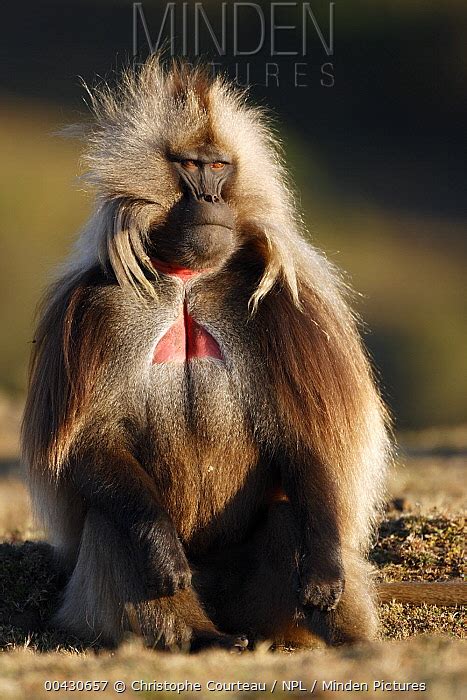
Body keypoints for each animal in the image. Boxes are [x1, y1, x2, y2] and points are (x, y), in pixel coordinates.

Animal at [22, 57, 391, 651]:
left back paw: (349, 640)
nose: (213, 199)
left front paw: (325, 573)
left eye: (220, 166)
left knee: (290, 520)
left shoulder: (288, 311)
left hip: (263, 606)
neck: (187, 280)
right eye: (192, 167)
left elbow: (307, 437)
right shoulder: (92, 312)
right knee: (113, 521)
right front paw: (161, 550)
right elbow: (88, 442)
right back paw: (201, 635)